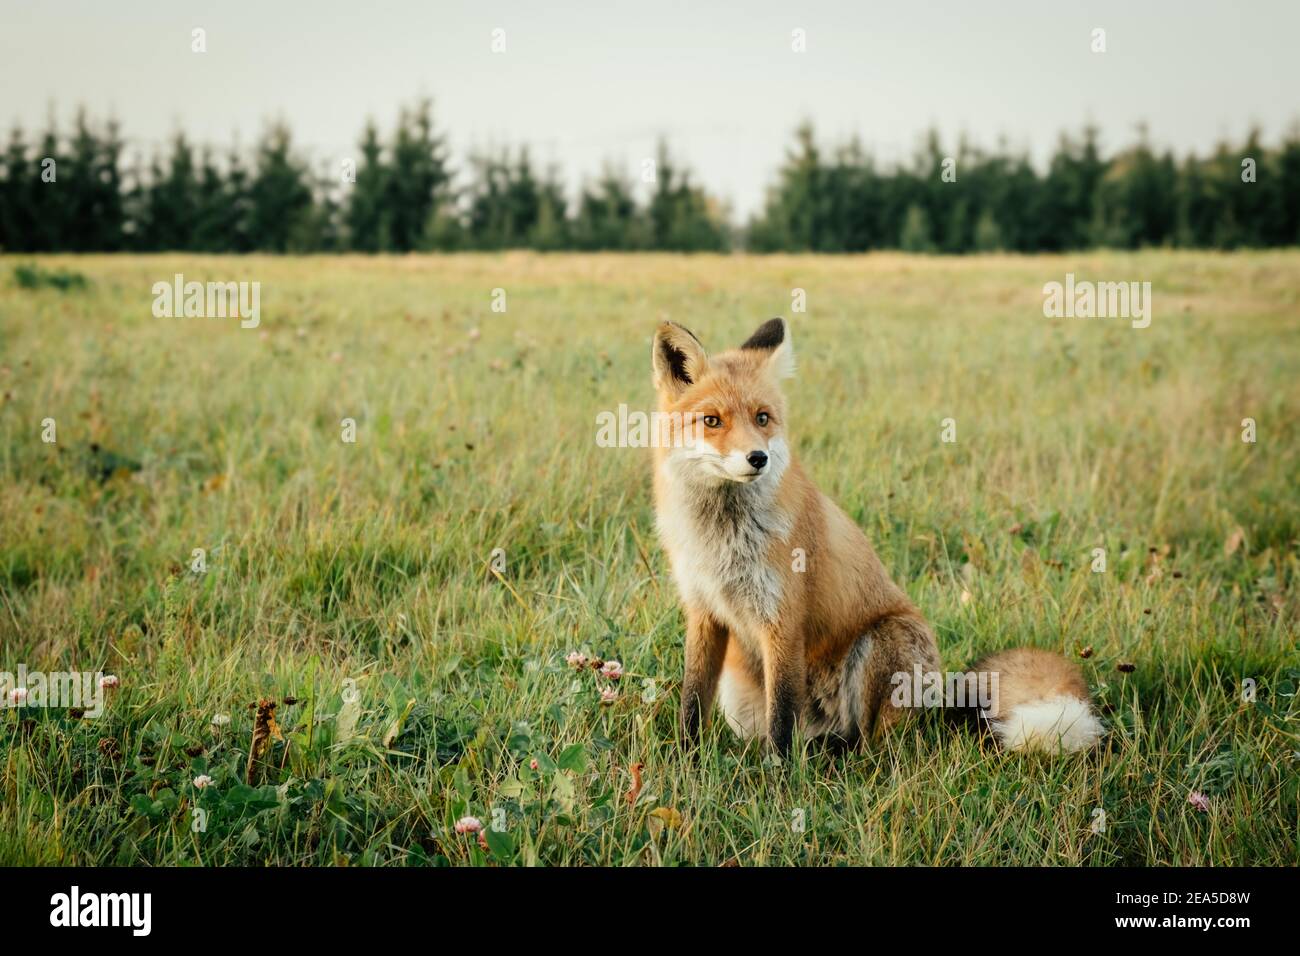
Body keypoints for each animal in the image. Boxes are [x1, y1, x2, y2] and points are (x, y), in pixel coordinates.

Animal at [651, 316, 1103, 758]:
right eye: (712, 421)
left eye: (762, 417)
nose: (757, 458)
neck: (721, 536)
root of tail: (936, 706)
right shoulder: (703, 610)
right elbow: (692, 700)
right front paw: (686, 759)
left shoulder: (782, 618)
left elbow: (781, 720)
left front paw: (777, 776)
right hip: (740, 696)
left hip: (883, 642)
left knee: (869, 744)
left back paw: (843, 756)